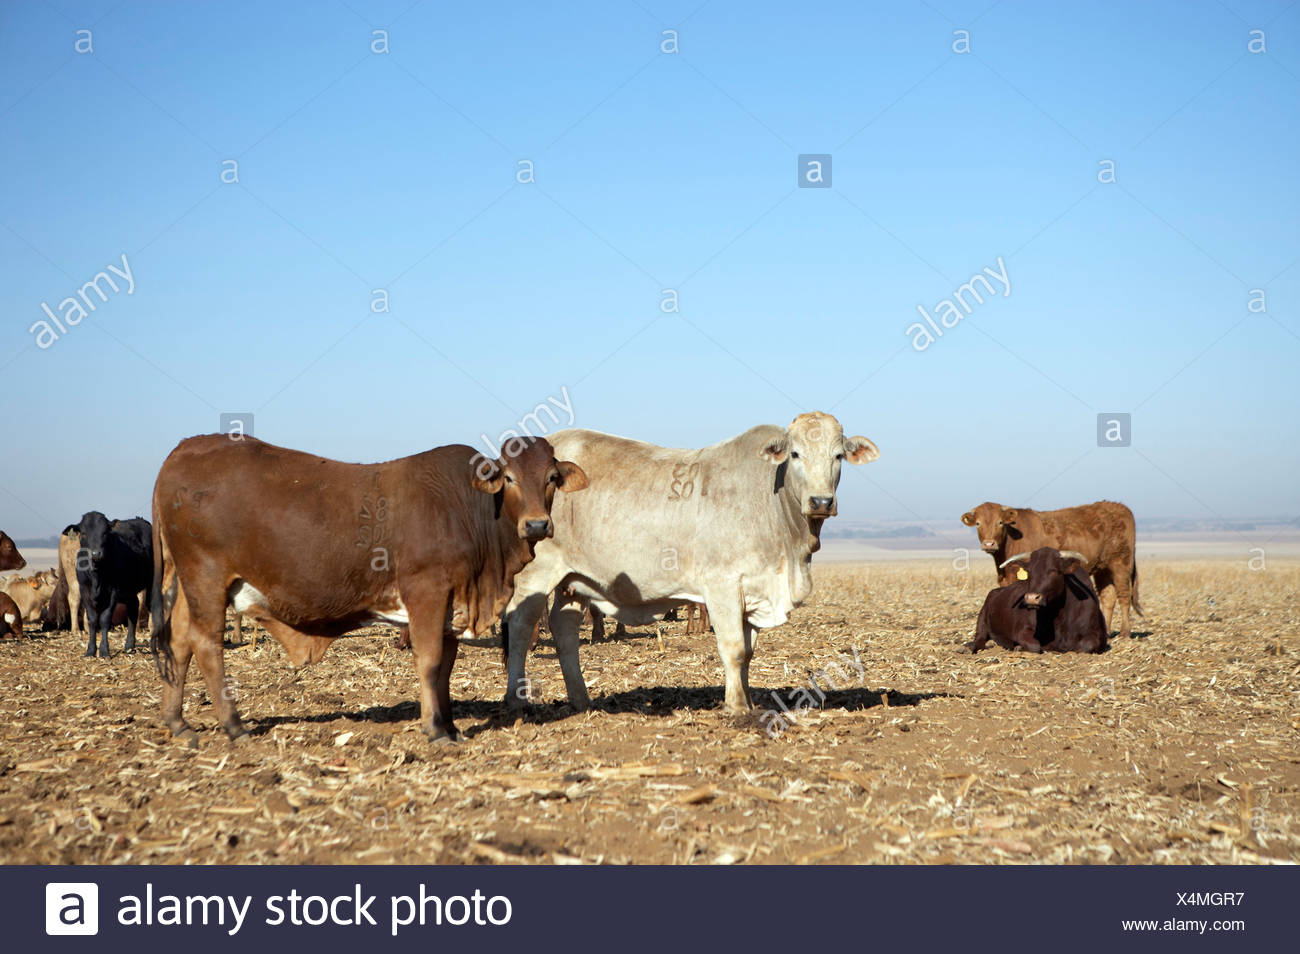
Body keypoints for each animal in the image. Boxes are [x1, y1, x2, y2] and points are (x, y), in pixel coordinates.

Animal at [75, 512, 154, 657]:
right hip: (129, 590)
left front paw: (104, 651)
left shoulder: (113, 591)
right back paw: (129, 646)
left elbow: (105, 619)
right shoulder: (84, 589)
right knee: (133, 609)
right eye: (83, 534)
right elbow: (92, 620)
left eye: (105, 533)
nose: (96, 554)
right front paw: (90, 650)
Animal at [150, 434, 588, 744]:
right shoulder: (426, 592)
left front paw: (450, 725)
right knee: (206, 644)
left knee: (179, 642)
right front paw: (434, 730)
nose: (537, 524)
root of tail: (183, 449)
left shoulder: (452, 603)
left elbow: (446, 667)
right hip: (206, 576)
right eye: (509, 478)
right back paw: (233, 725)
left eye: (551, 478)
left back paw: (178, 722)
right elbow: (430, 661)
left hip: (190, 584)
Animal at [503, 411, 879, 713]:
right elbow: (734, 649)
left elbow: (748, 654)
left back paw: (581, 700)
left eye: (838, 455)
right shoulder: (723, 586)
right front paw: (737, 708)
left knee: (564, 628)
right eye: (796, 454)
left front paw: (747, 700)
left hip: (575, 579)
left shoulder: (753, 592)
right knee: (520, 626)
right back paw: (515, 700)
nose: (821, 501)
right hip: (537, 573)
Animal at [960, 500, 1142, 639]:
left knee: (1124, 595)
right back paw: (1107, 631)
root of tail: (1120, 507)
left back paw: (1125, 633)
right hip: (1103, 568)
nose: (989, 544)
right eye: (978, 523)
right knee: (1108, 597)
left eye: (1000, 522)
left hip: (1121, 562)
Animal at [968, 547, 1108, 654]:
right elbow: (1035, 646)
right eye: (1029, 572)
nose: (1031, 598)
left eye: (1053, 570)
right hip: (982, 619)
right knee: (980, 638)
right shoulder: (1023, 630)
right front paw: (1019, 647)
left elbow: (1086, 645)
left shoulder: (1095, 633)